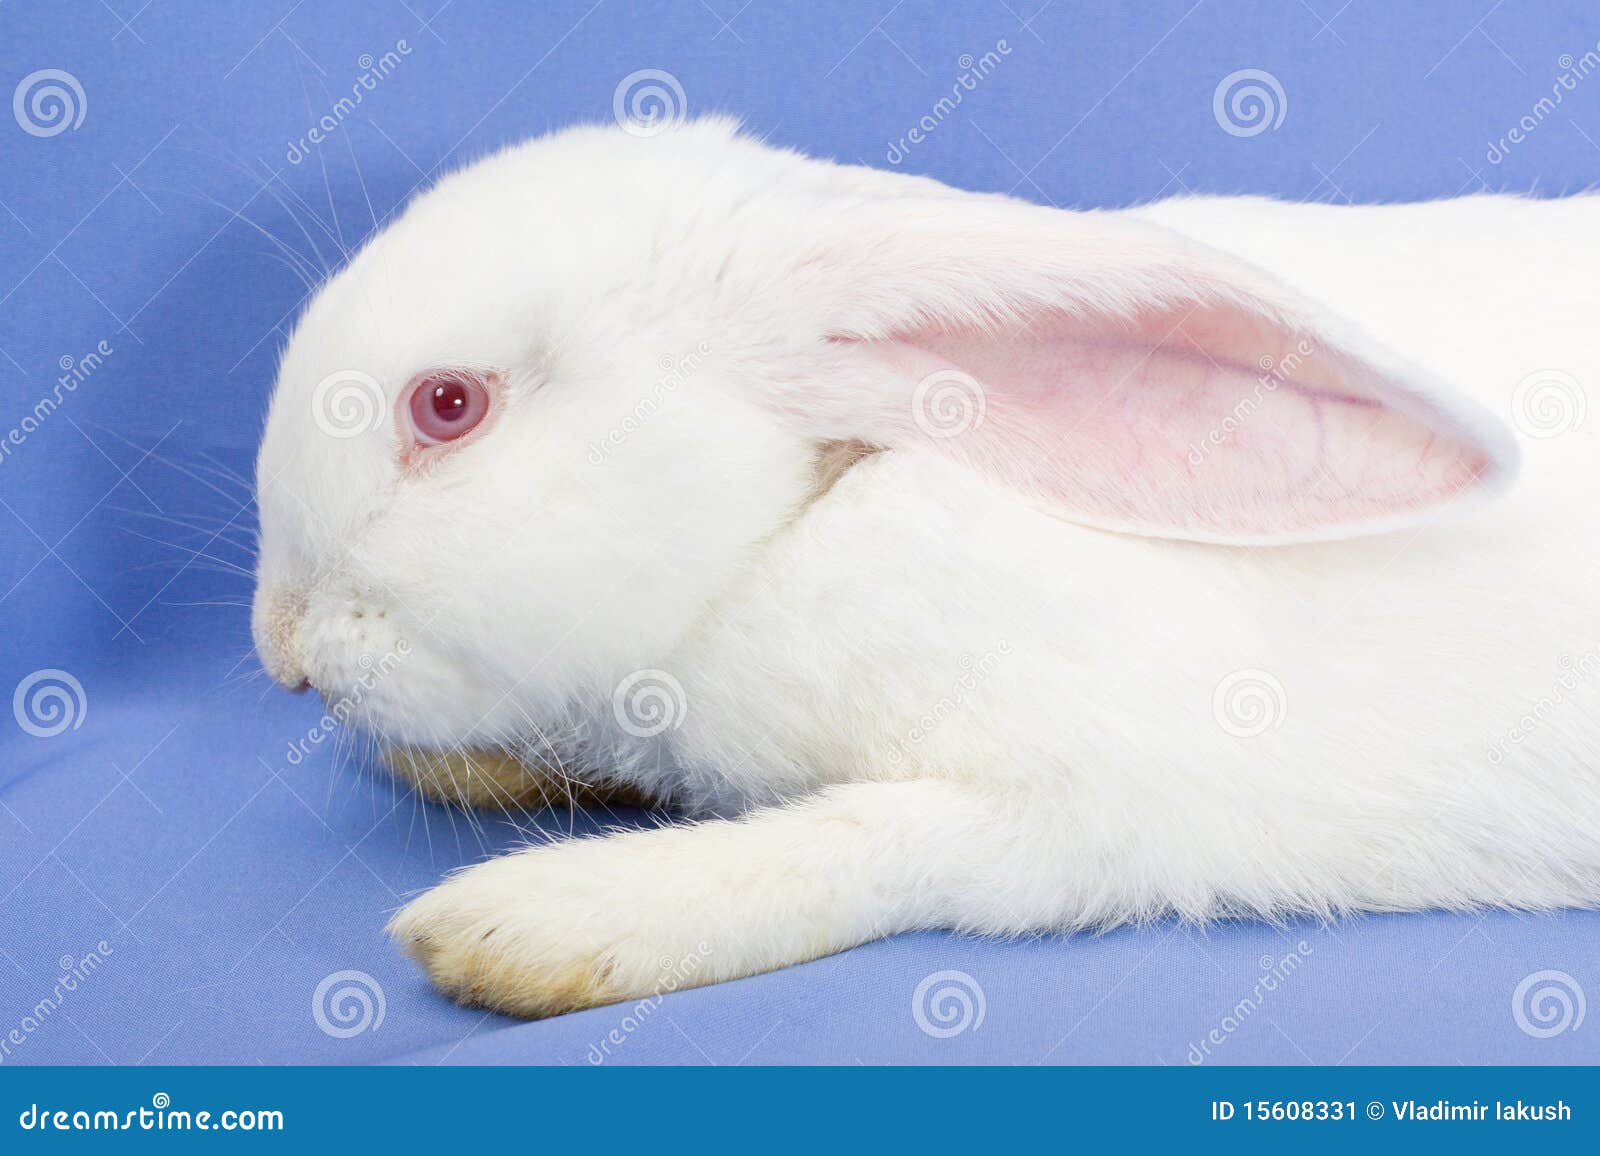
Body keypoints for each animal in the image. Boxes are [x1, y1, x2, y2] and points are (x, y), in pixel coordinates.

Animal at [251, 117, 1600, 1019]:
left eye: (448, 406)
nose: (278, 648)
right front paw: (469, 771)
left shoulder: (1084, 808)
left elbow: (850, 847)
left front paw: (521, 926)